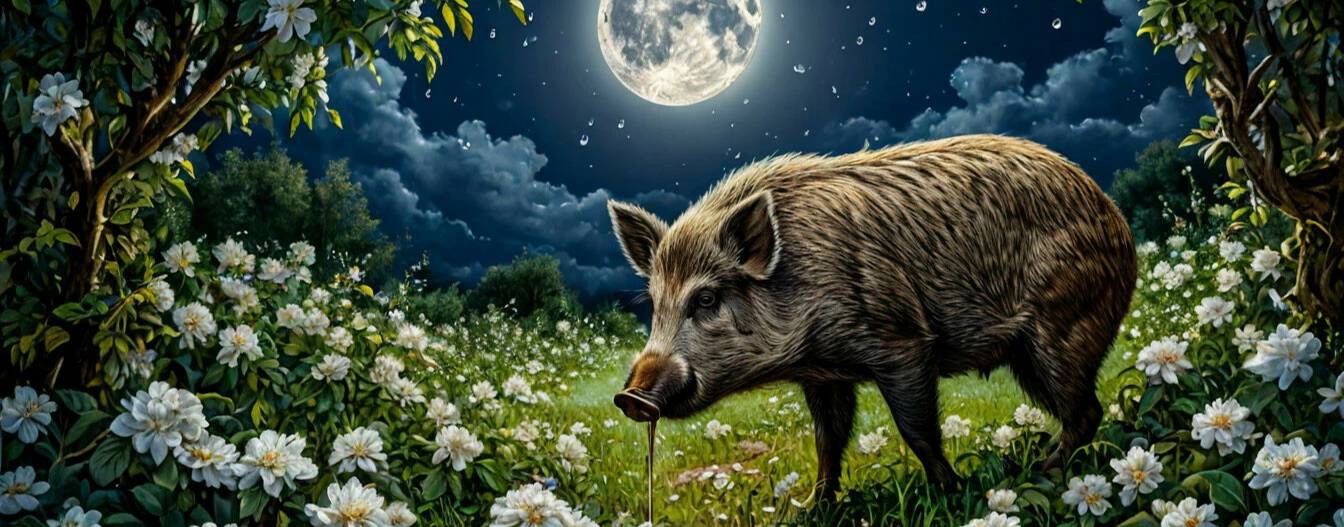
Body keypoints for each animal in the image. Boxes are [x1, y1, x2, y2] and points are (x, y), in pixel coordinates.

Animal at [608, 135, 1136, 498]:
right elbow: (828, 440)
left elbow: (918, 430)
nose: (630, 397)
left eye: (707, 299)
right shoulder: (824, 376)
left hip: (1063, 325)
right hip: (1029, 354)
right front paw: (816, 506)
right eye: (654, 301)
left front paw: (951, 492)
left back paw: (1042, 472)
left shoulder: (903, 344)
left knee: (1085, 410)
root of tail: (1115, 216)